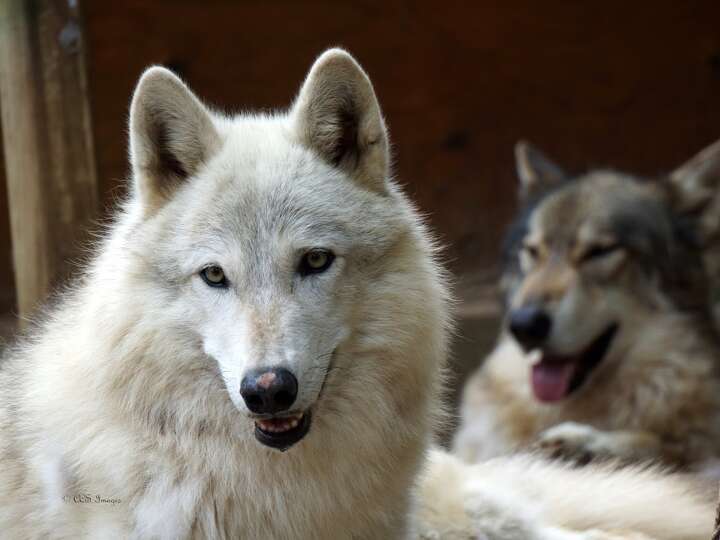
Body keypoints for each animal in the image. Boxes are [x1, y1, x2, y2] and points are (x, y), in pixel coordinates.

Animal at [453, 139, 720, 470]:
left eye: (600, 251)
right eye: (533, 251)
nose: (524, 324)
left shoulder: (697, 447)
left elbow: (658, 445)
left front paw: (584, 443)